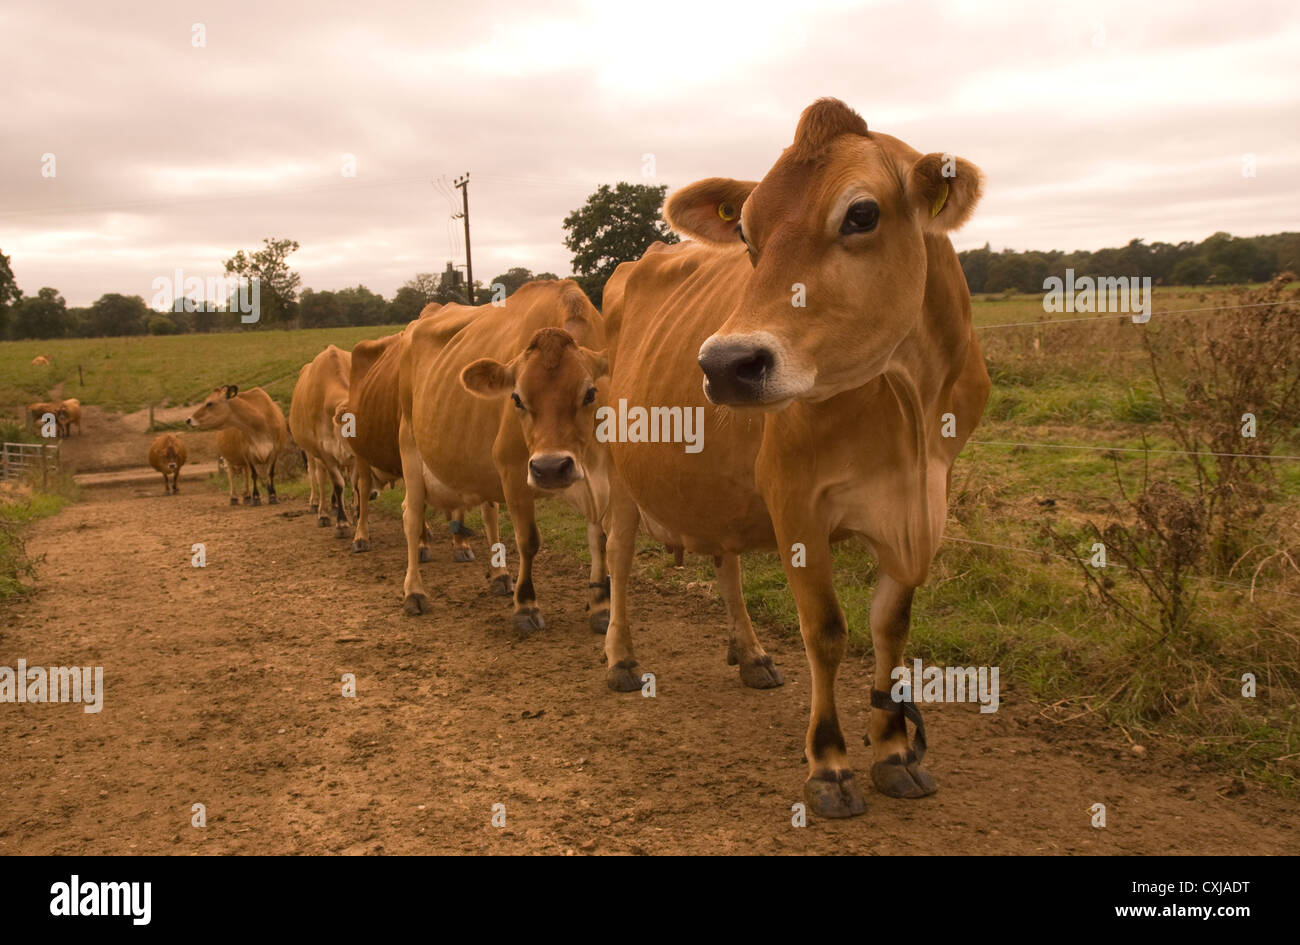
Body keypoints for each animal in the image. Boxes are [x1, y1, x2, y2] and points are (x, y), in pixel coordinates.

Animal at [289, 346, 356, 537]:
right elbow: (337, 483)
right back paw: (320, 510)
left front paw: (357, 515)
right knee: (316, 476)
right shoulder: (324, 452)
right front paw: (342, 523)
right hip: (310, 452)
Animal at [397, 280, 612, 632]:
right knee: (412, 517)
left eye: (590, 393)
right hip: (410, 446)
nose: (550, 468)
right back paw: (414, 592)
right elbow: (528, 540)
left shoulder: (605, 476)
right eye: (516, 398)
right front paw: (526, 605)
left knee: (489, 514)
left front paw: (601, 605)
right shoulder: (513, 471)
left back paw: (499, 576)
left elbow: (600, 537)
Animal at [599, 98, 989, 818]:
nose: (725, 364)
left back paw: (750, 653)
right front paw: (830, 763)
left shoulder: (923, 502)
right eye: (747, 234)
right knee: (616, 557)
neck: (909, 405)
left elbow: (892, 625)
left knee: (724, 558)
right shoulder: (794, 501)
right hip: (614, 465)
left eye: (861, 214)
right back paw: (620, 659)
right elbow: (827, 630)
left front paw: (894, 748)